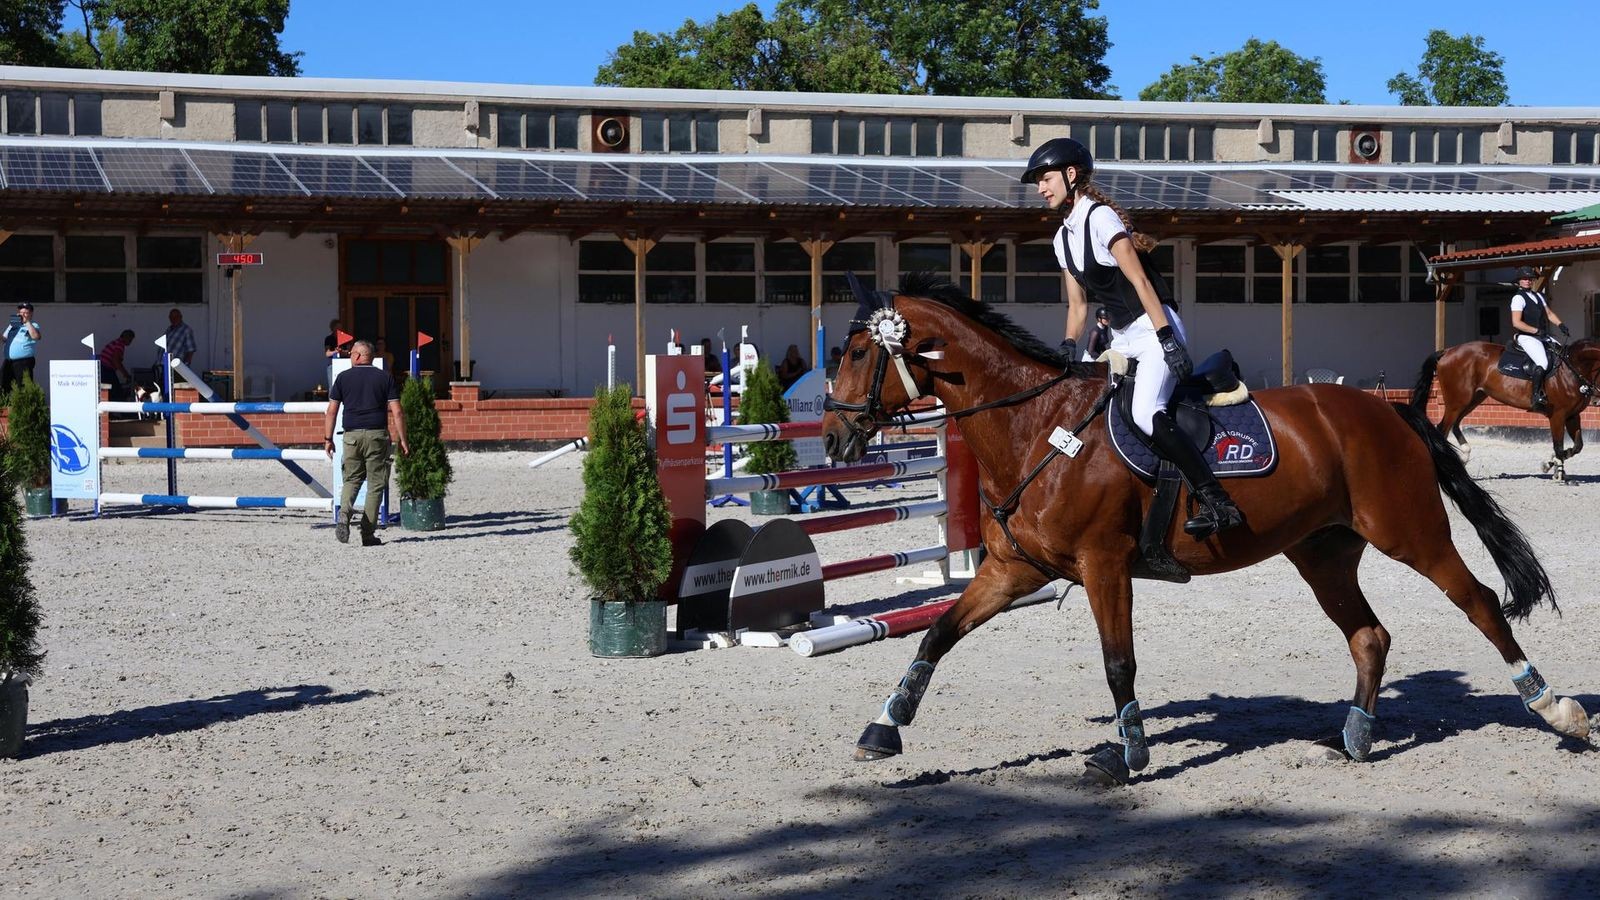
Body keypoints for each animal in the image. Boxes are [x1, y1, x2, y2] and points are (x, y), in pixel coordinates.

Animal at [1410, 338, 1600, 480]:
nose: (1596, 399)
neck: (1571, 369)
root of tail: (1448, 351)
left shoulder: (1573, 415)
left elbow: (1577, 446)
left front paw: (1553, 466)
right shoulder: (1558, 415)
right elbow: (1559, 446)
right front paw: (1555, 470)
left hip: (1473, 398)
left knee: (1455, 424)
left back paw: (1464, 457)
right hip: (1457, 402)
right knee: (1443, 429)